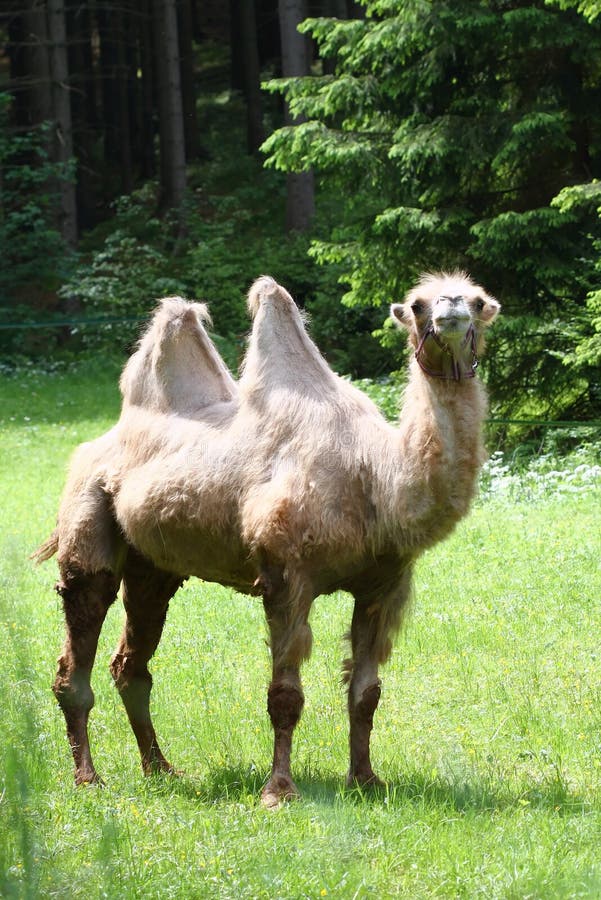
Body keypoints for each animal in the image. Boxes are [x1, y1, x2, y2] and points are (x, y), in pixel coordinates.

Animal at [35, 272, 500, 807]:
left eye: (478, 301)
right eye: (419, 305)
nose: (450, 310)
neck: (376, 478)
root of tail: (98, 446)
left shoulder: (383, 586)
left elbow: (366, 694)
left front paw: (365, 779)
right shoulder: (287, 575)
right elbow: (285, 696)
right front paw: (278, 791)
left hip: (154, 568)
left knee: (130, 664)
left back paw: (161, 769)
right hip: (87, 522)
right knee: (77, 652)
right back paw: (88, 778)